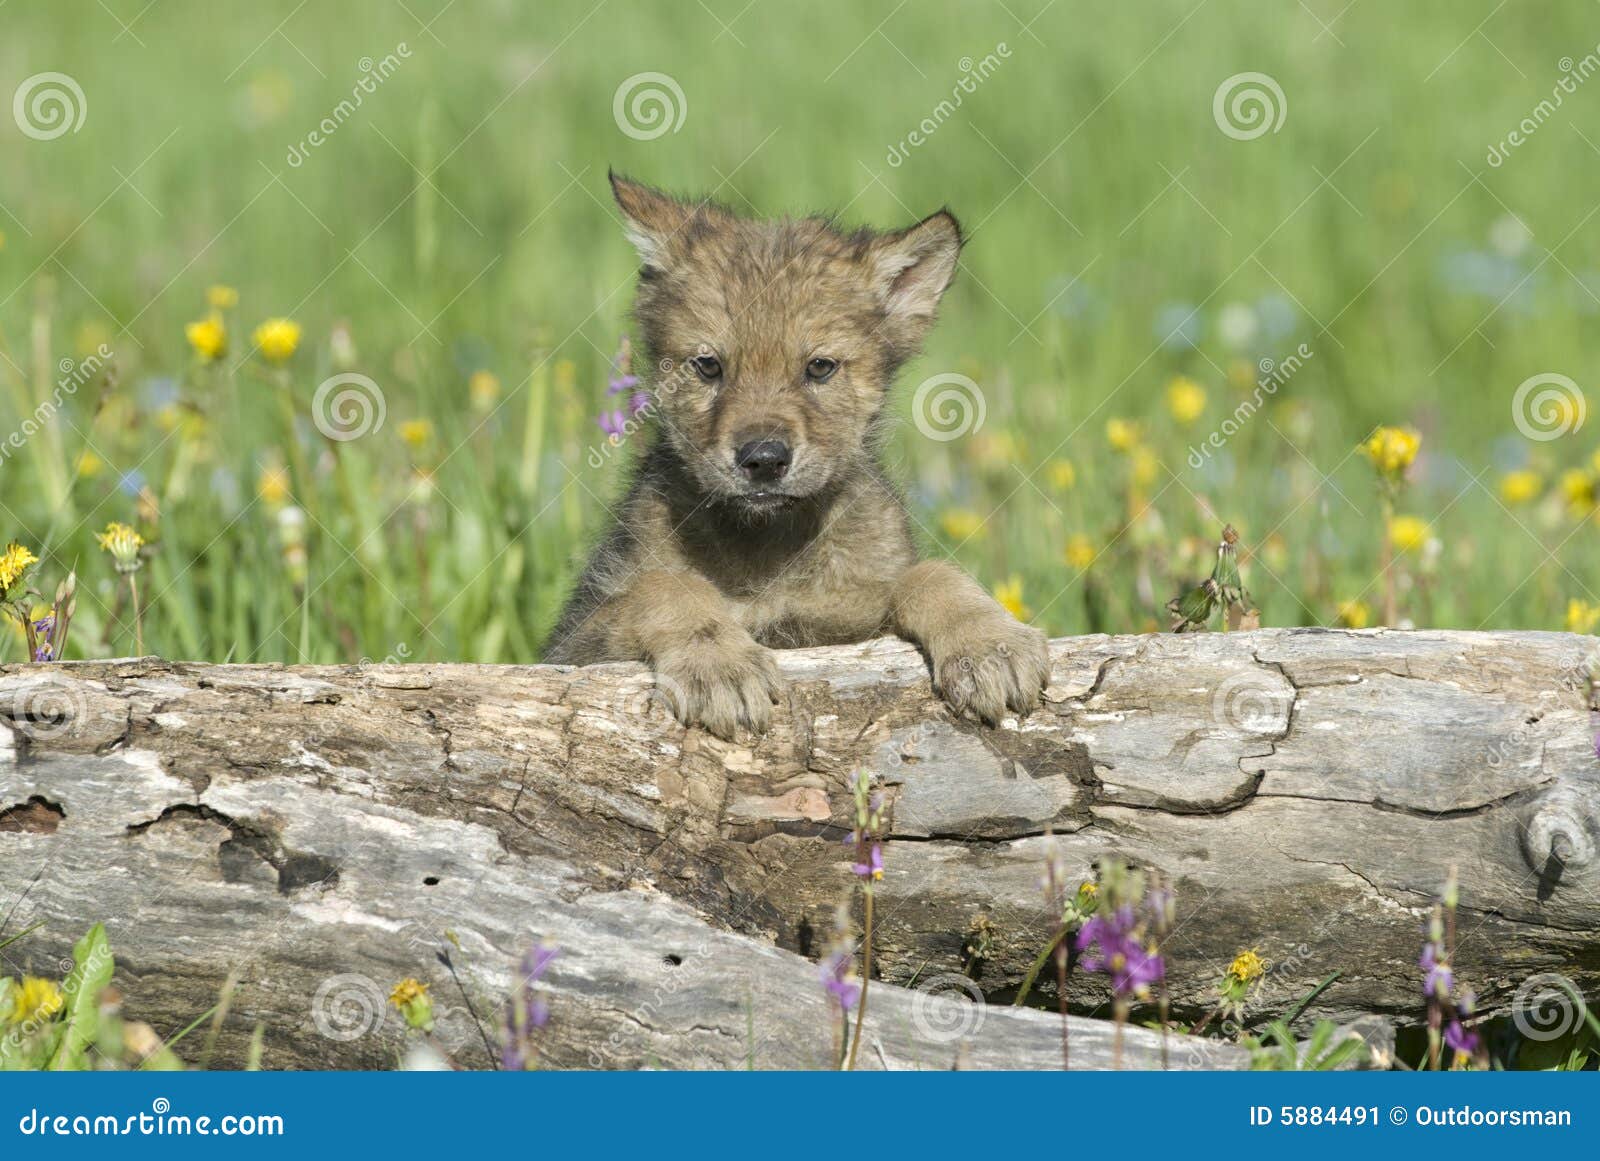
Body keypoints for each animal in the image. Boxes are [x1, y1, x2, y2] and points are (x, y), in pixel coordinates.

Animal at [543, 175, 1049, 739]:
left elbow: (929, 573)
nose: (763, 459)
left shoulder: (851, 616)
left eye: (820, 367)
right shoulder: (575, 643)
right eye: (708, 365)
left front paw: (989, 643)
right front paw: (720, 666)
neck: (770, 549)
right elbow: (664, 586)